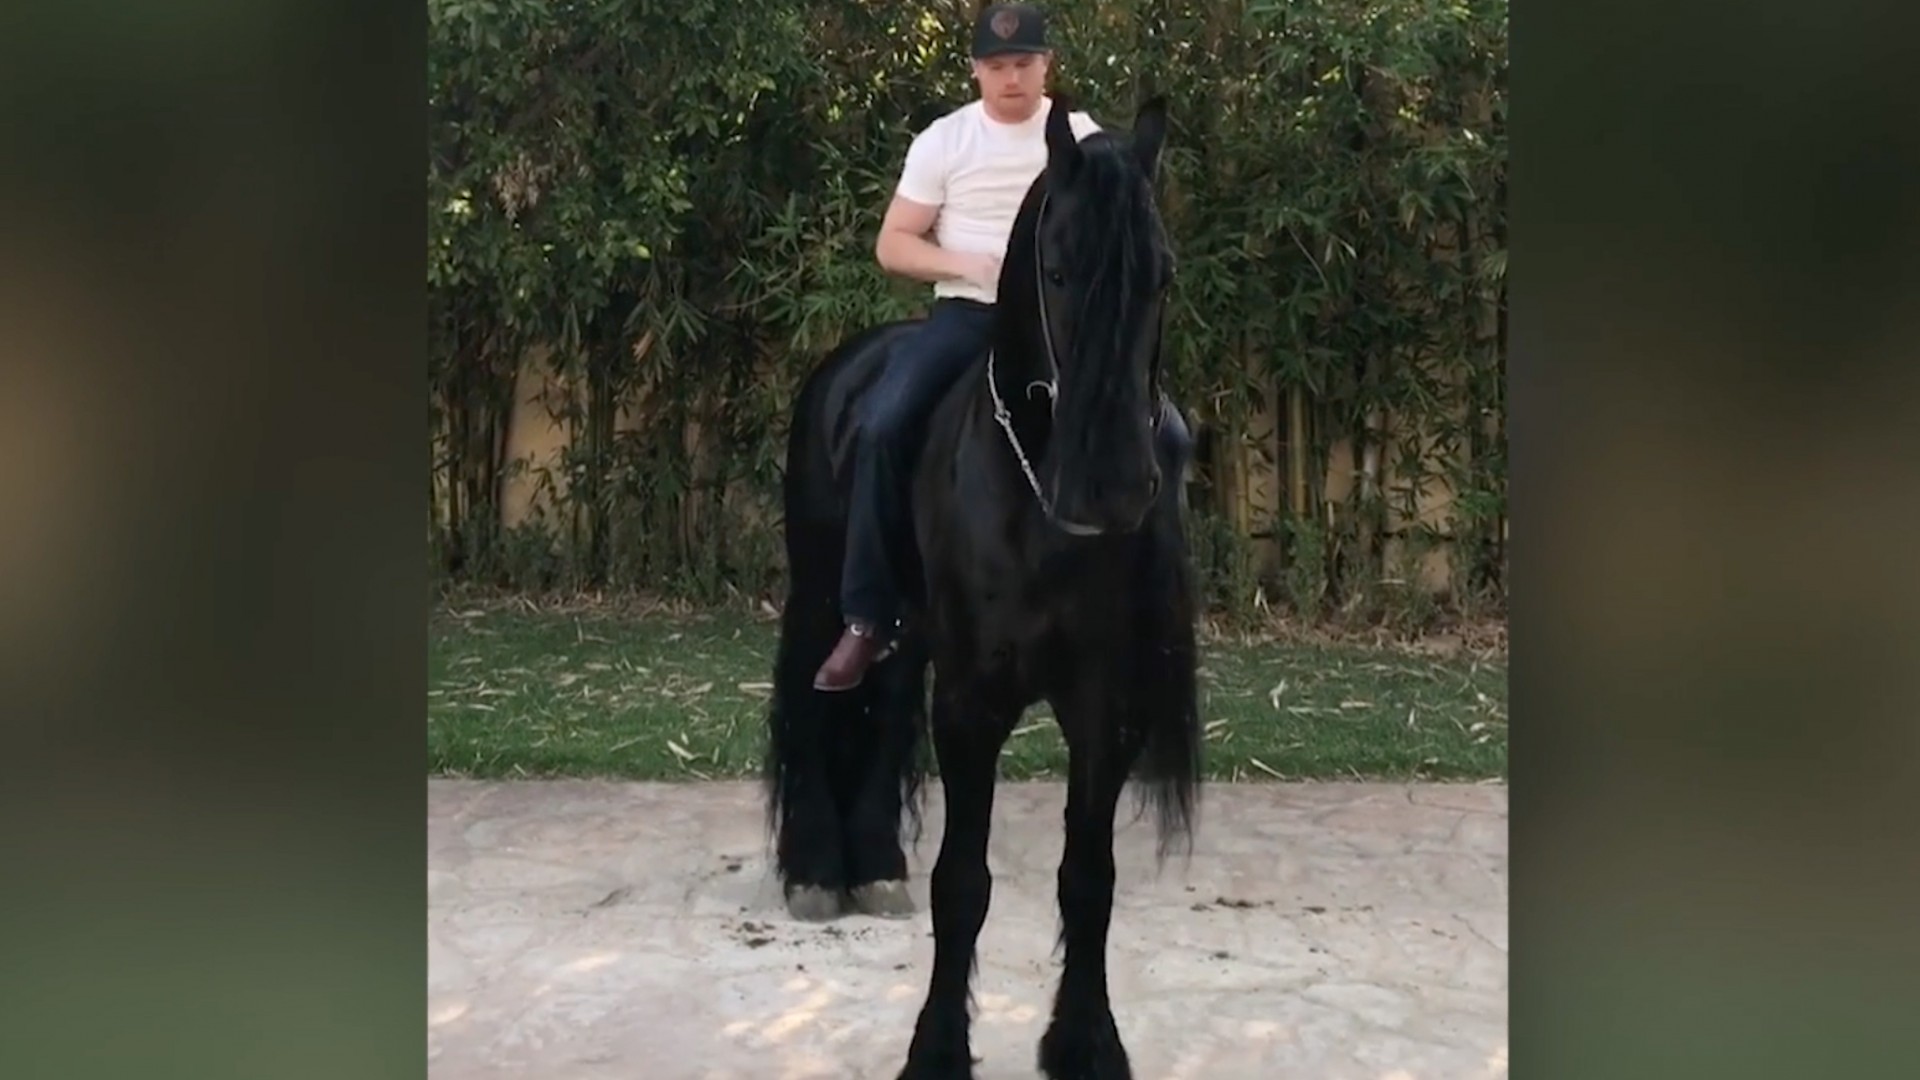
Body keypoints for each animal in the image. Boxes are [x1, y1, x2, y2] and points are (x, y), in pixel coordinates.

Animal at [763, 94, 1203, 1080]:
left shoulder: (1103, 704)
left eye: (1160, 275)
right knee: (816, 700)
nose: (1111, 486)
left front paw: (1086, 1044)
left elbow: (1088, 879)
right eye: (1058, 268)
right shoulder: (971, 703)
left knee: (883, 701)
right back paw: (817, 868)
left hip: (907, 627)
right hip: (820, 593)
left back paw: (872, 861)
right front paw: (936, 1049)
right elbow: (962, 883)